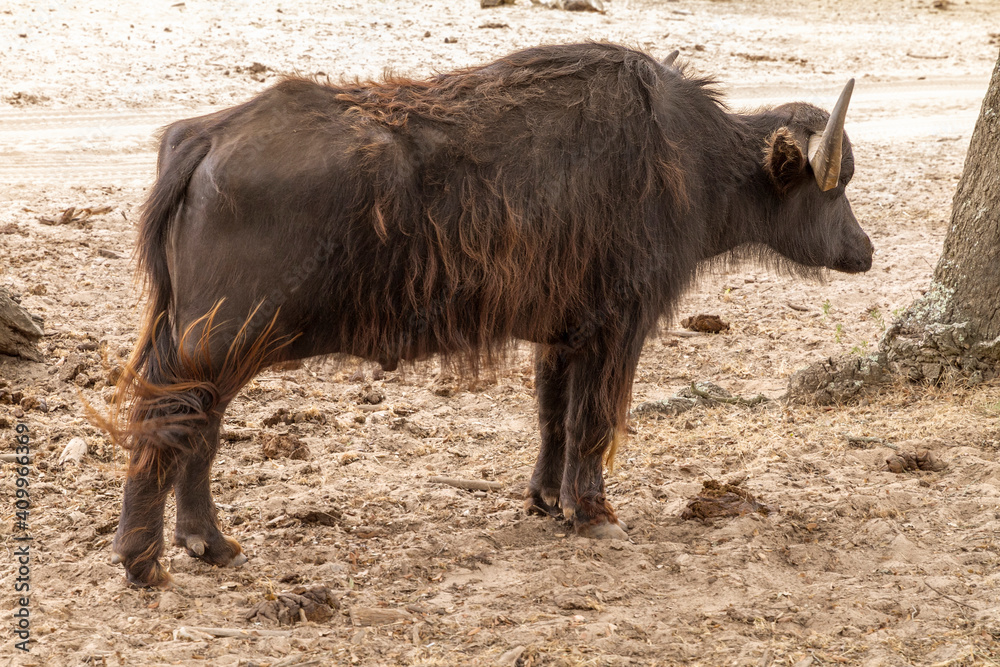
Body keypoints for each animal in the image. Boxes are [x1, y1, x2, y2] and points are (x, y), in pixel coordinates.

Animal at [108, 42, 872, 587]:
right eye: (836, 186)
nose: (864, 251)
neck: (687, 159)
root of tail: (207, 135)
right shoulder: (618, 328)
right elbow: (594, 423)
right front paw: (594, 514)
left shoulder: (562, 336)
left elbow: (554, 418)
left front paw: (547, 500)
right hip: (221, 341)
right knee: (167, 422)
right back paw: (145, 561)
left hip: (225, 347)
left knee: (200, 428)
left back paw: (209, 542)